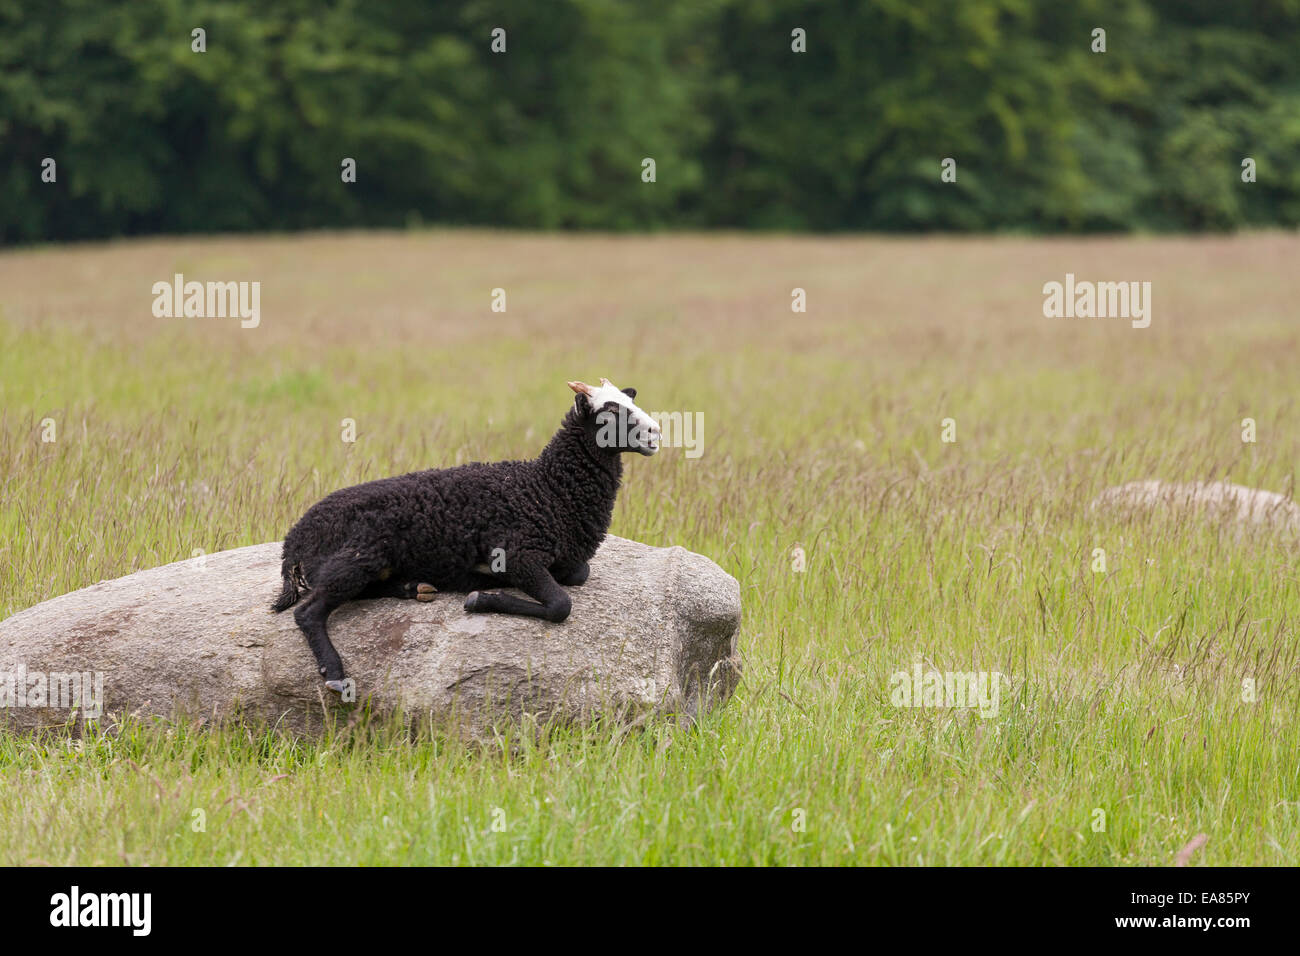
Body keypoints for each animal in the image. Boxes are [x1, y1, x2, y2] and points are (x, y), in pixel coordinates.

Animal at [271, 378, 662, 692]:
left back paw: (413, 588)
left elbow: (579, 574)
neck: (547, 488)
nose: (656, 433)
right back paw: (336, 674)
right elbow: (560, 606)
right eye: (609, 413)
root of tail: (294, 540)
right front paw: (481, 600)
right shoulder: (517, 555)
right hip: (359, 555)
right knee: (308, 612)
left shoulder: (563, 559)